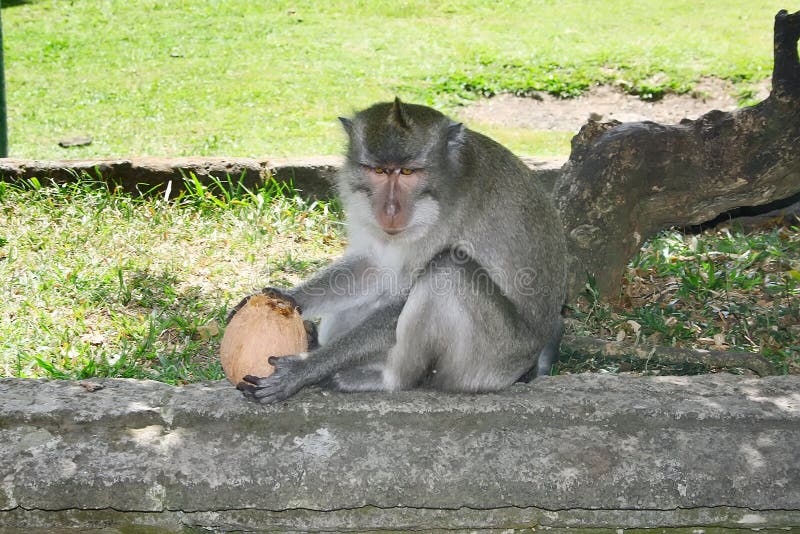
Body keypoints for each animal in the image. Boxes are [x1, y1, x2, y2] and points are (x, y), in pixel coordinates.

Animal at [235, 98, 567, 403]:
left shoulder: (449, 219)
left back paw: (387, 380)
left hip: (490, 362)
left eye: (408, 172)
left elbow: (400, 302)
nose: (390, 210)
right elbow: (373, 266)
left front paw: (303, 369)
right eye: (380, 171)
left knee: (447, 271)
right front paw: (287, 297)